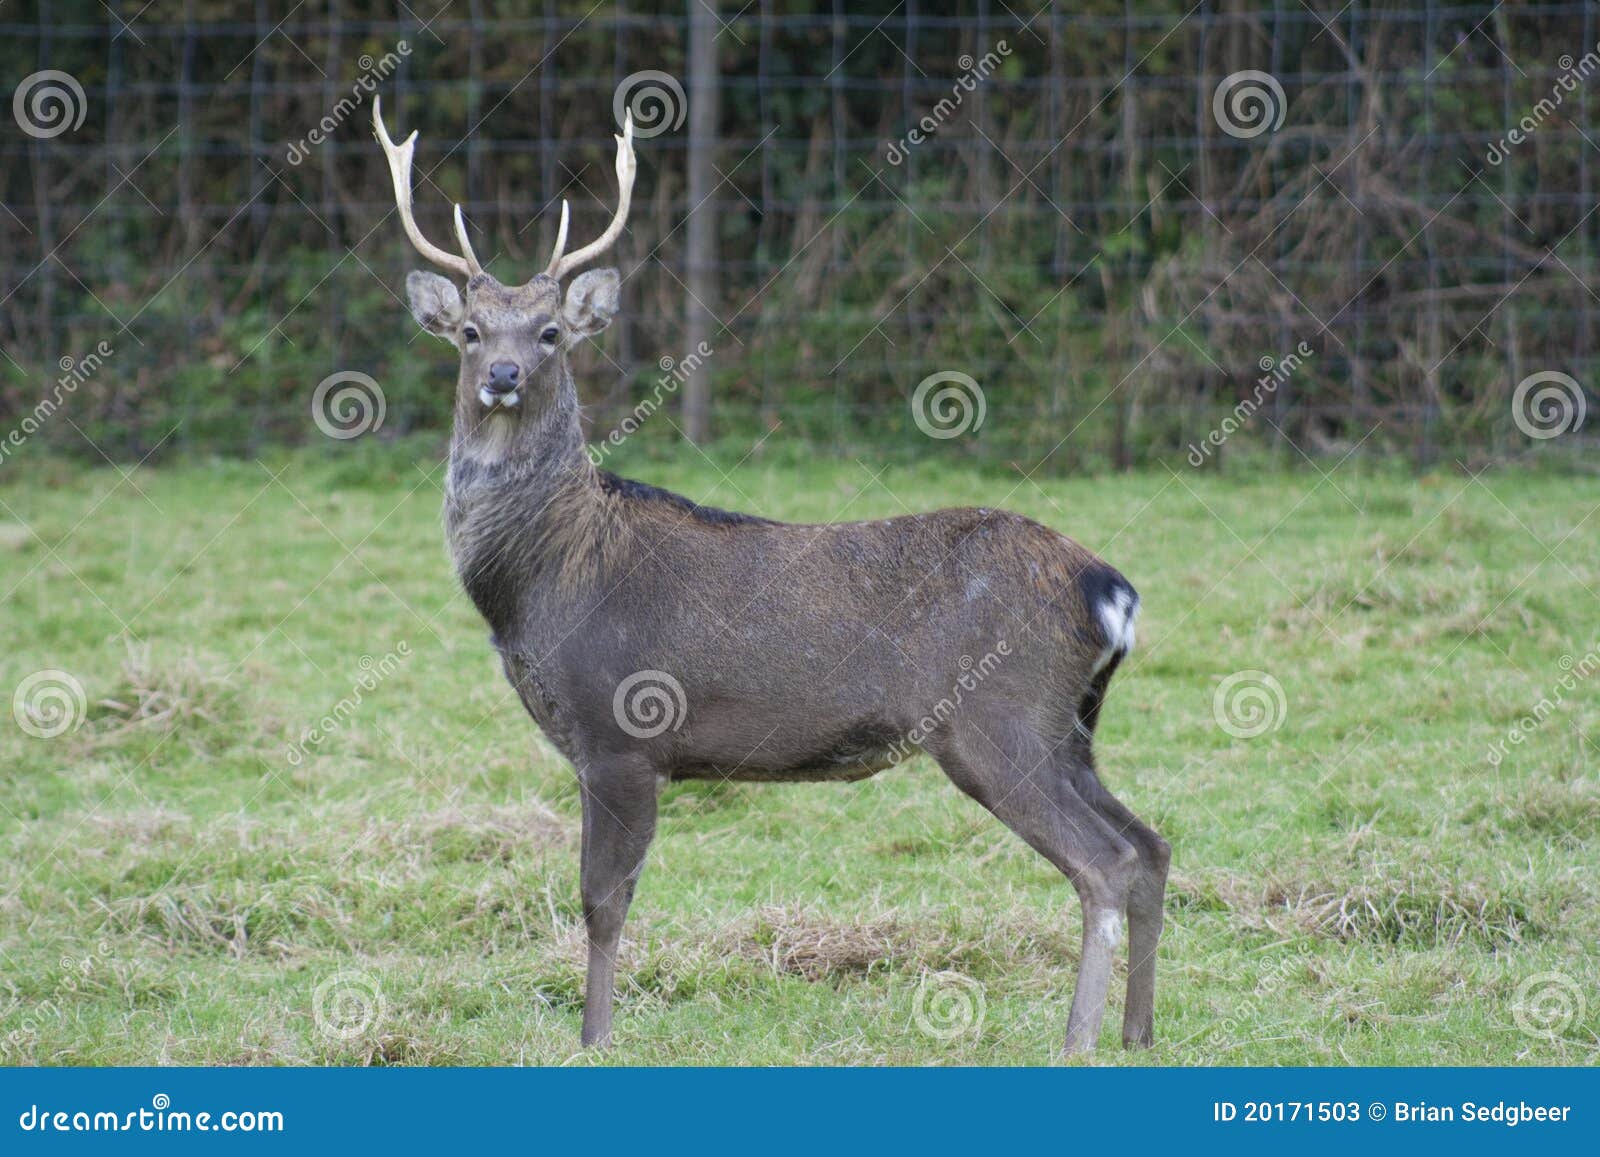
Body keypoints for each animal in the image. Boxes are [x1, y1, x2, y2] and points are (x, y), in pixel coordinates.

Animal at [372, 97, 1168, 1056]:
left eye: (551, 332)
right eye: (469, 330)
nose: (501, 375)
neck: (544, 579)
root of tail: (1109, 589)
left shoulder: (621, 731)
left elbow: (602, 900)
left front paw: (595, 1038)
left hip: (999, 715)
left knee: (1106, 860)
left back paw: (1078, 1039)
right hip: (1071, 723)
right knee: (1152, 844)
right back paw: (1137, 1034)